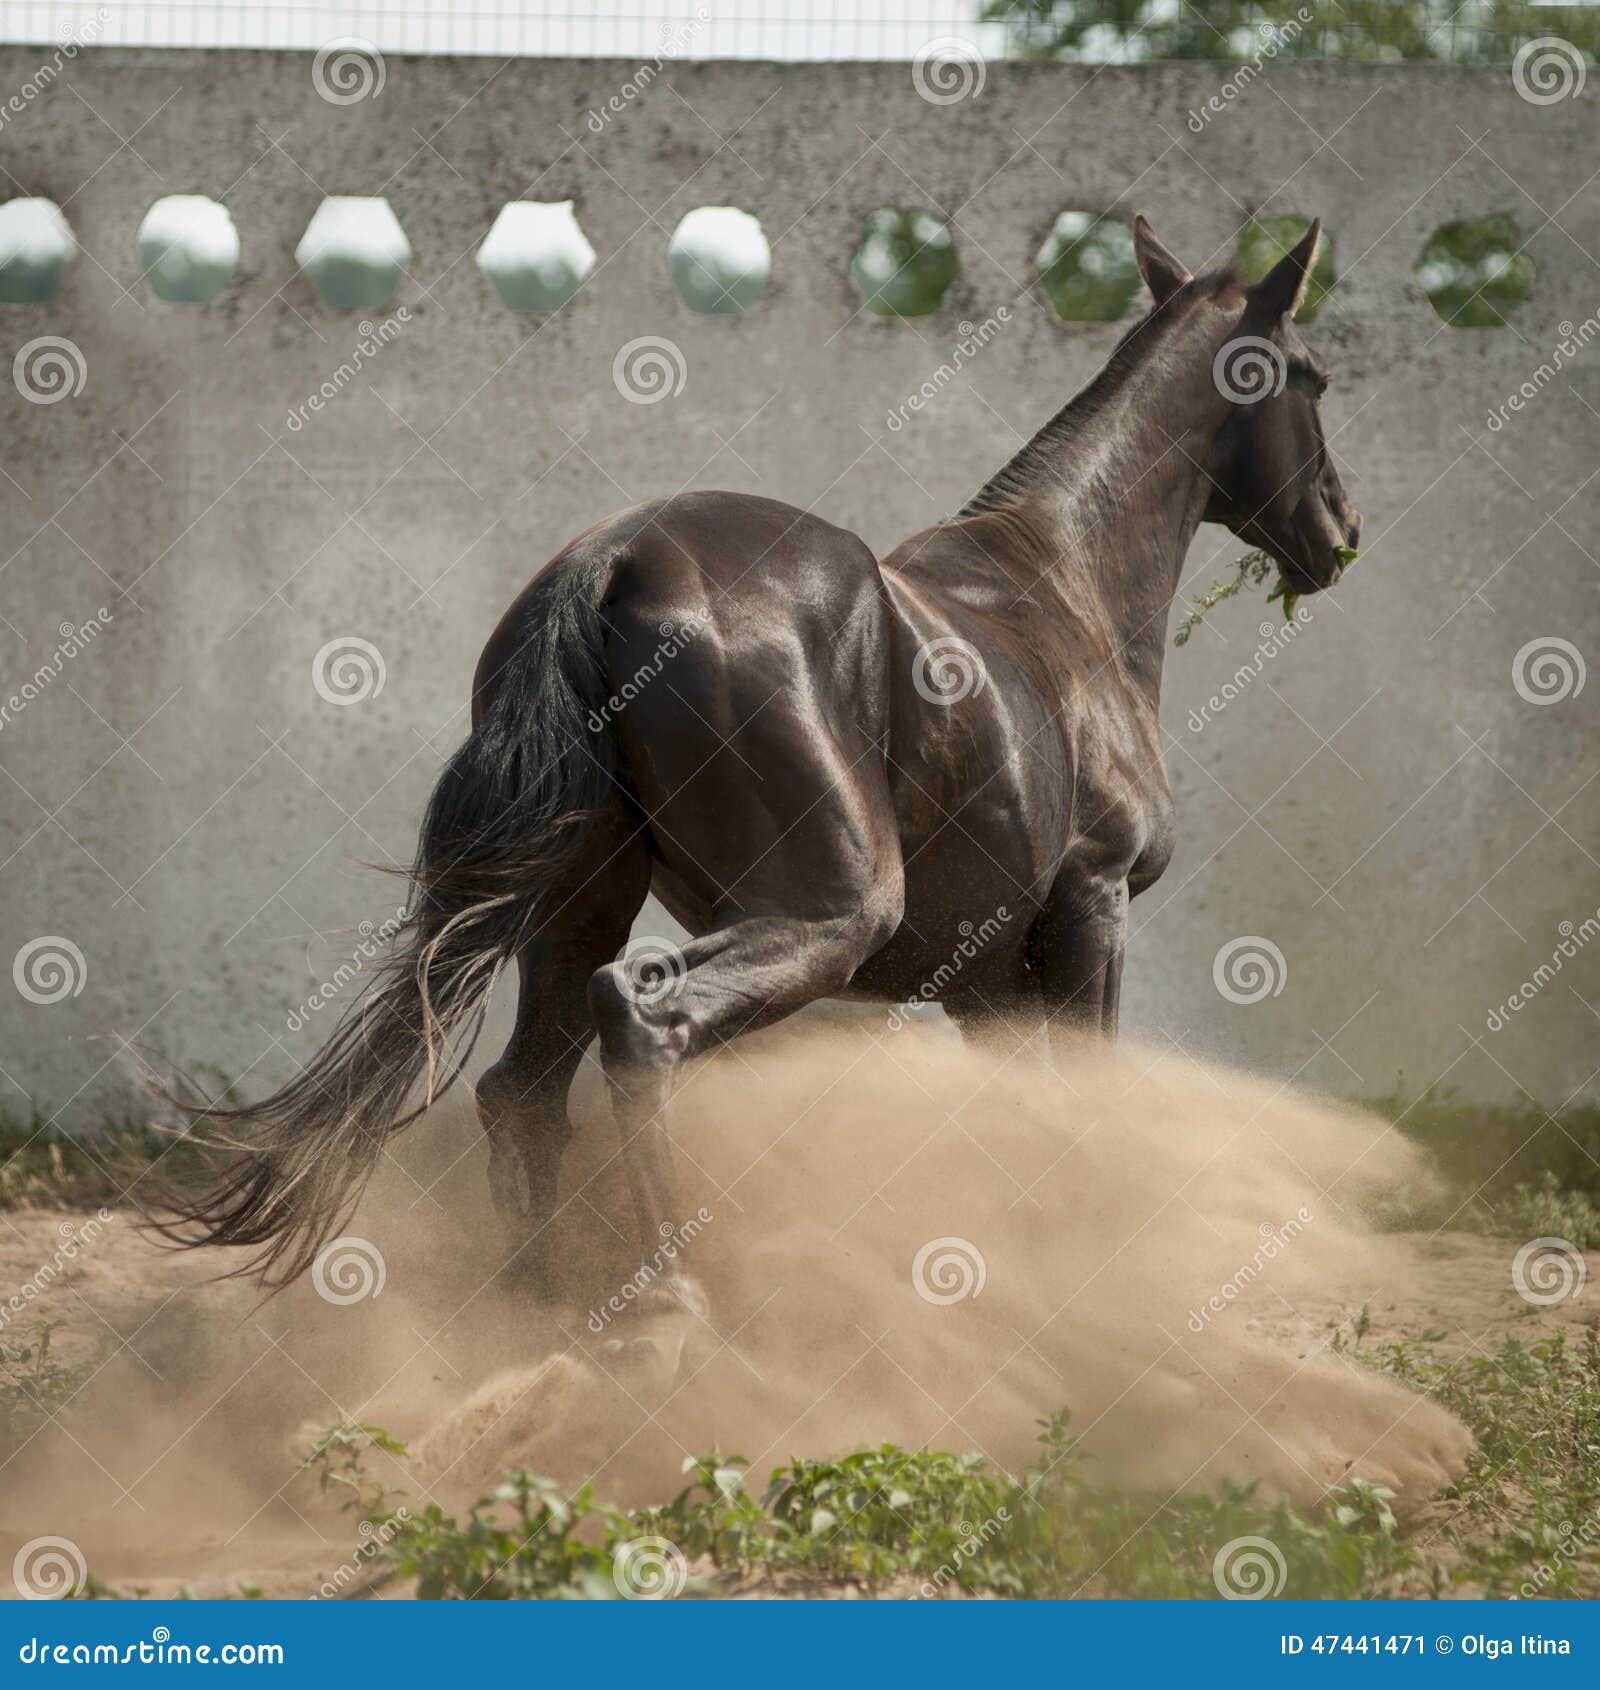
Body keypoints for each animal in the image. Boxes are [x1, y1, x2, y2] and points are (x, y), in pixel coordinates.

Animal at [157, 217, 1360, 1313]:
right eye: (1310, 376)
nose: (1339, 531)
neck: (1061, 587)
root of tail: (618, 559)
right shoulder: (1090, 905)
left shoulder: (986, 983)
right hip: (828, 912)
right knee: (641, 1028)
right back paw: (670, 1305)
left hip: (580, 907)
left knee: (526, 1090)